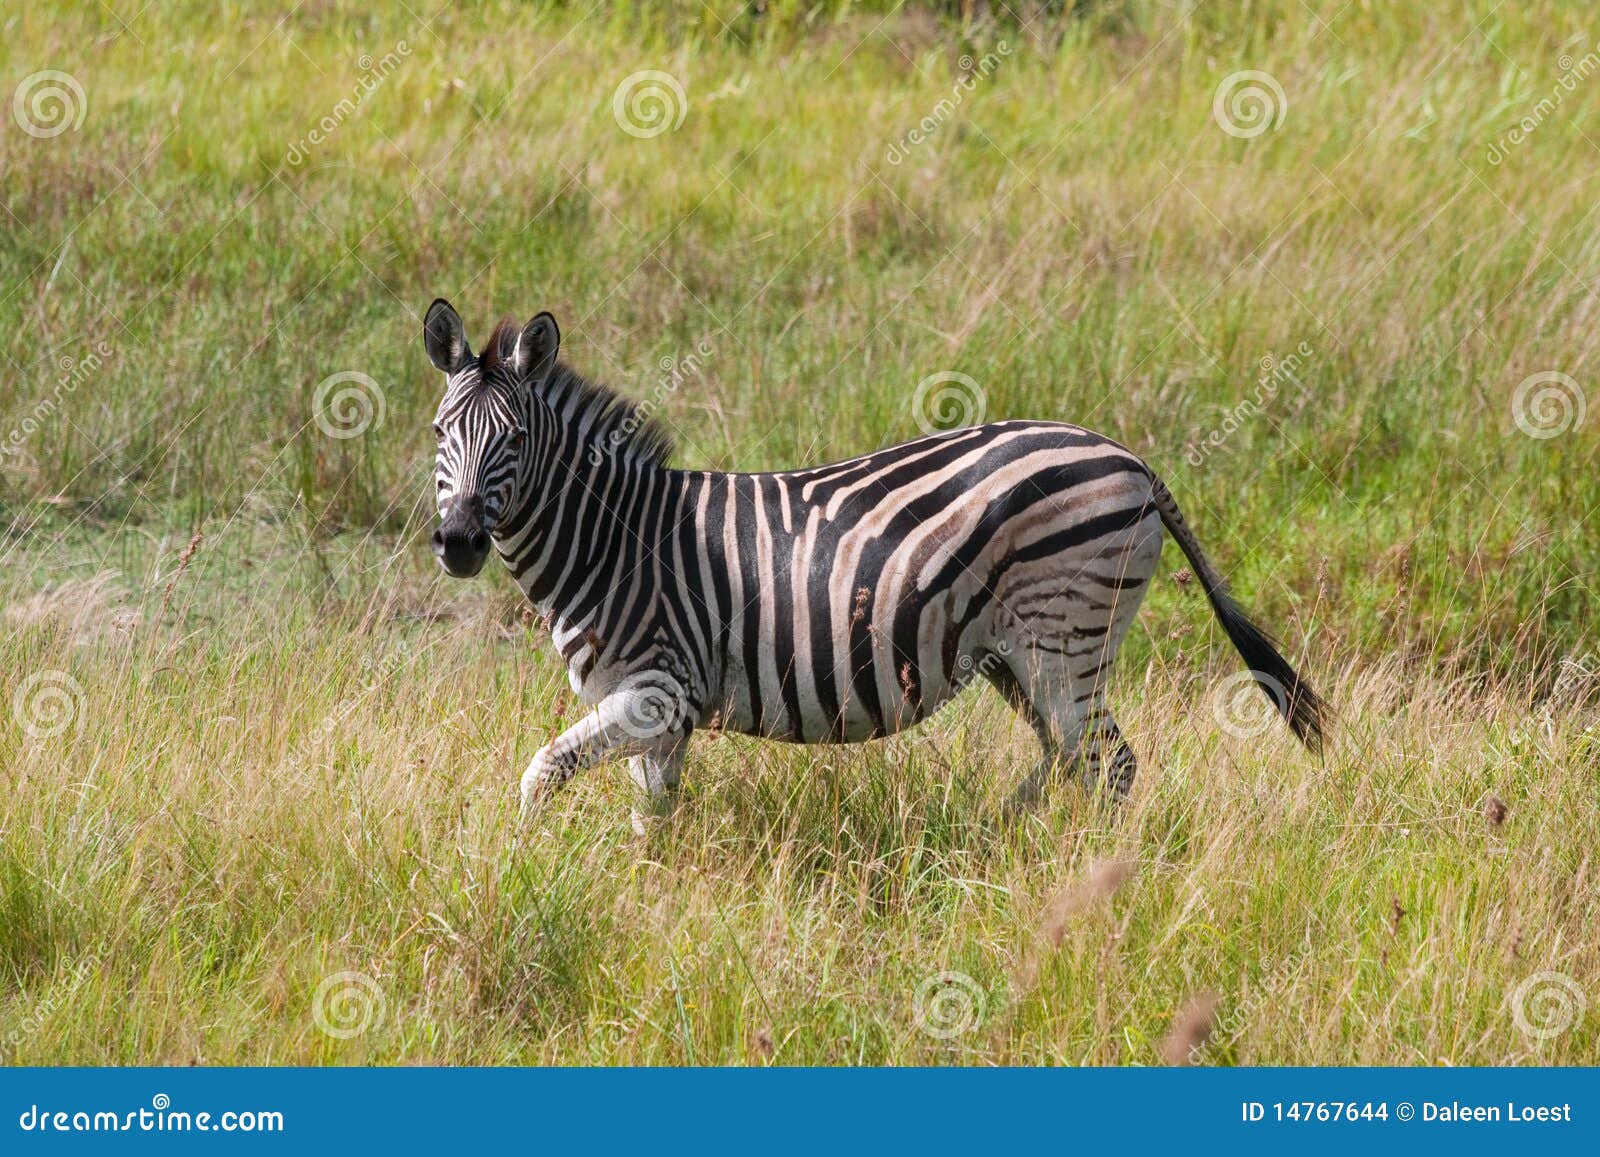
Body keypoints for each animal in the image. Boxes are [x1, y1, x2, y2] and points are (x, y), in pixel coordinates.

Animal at [424, 300, 1325, 829]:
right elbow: (655, 817)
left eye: (515, 441)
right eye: (440, 434)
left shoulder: (655, 690)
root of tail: (1131, 457)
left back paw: (1096, 877)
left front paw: (530, 871)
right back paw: (1006, 837)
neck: (612, 543)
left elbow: (540, 773)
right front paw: (652, 900)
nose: (460, 541)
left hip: (1065, 641)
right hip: (1020, 658)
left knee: (1111, 766)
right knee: (1069, 760)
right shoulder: (659, 715)